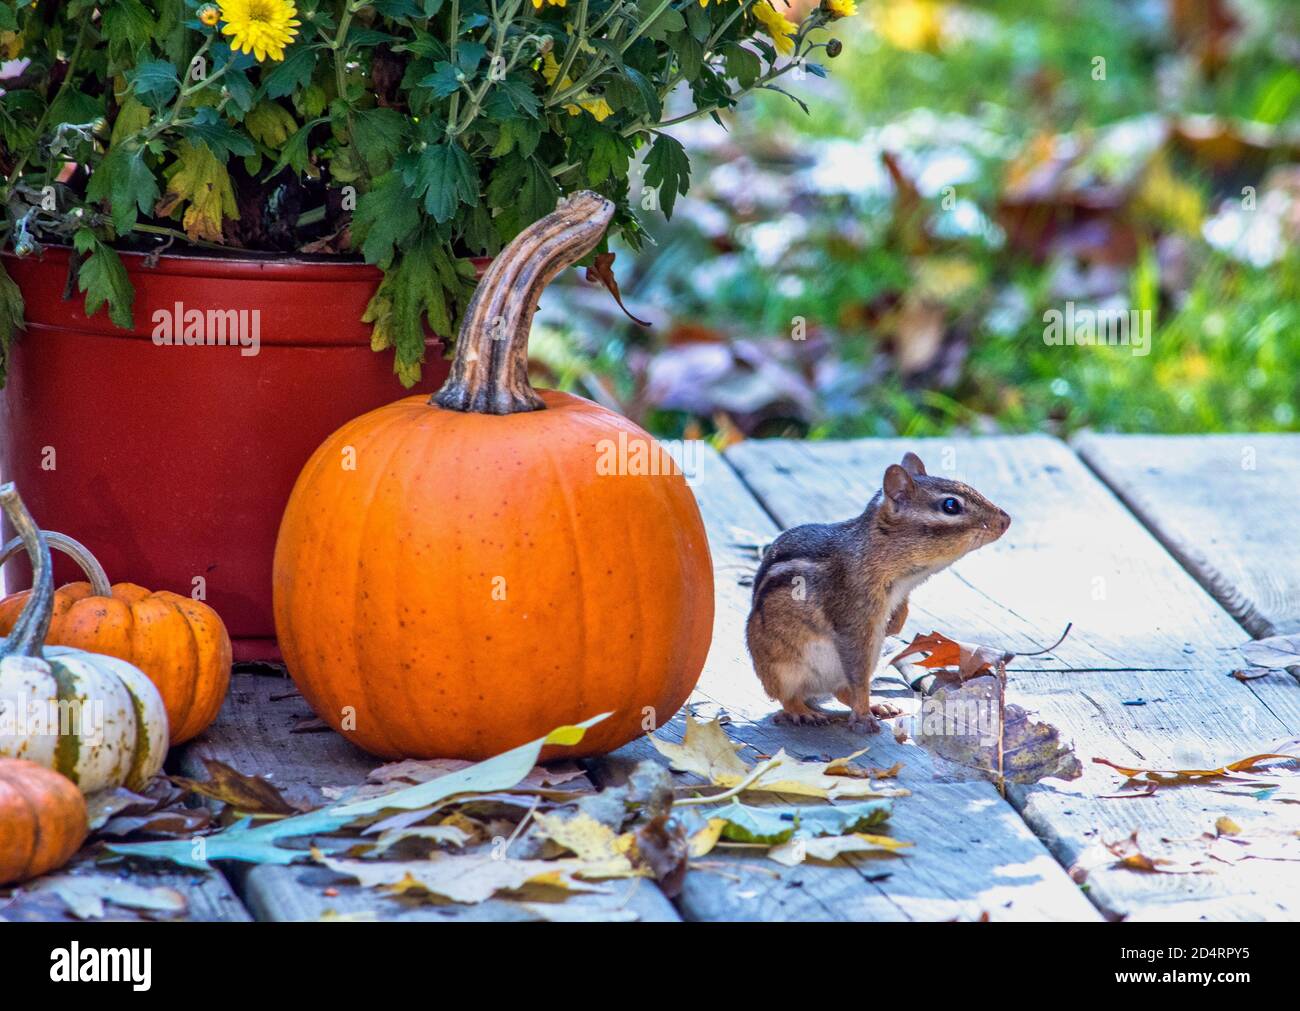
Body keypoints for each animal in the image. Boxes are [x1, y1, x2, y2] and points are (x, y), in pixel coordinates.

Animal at [745, 452, 1010, 734]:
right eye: (951, 505)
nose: (1006, 520)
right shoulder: (854, 624)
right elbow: (858, 676)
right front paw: (862, 716)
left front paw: (896, 622)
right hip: (782, 667)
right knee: (788, 695)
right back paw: (802, 711)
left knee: (842, 691)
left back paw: (877, 706)